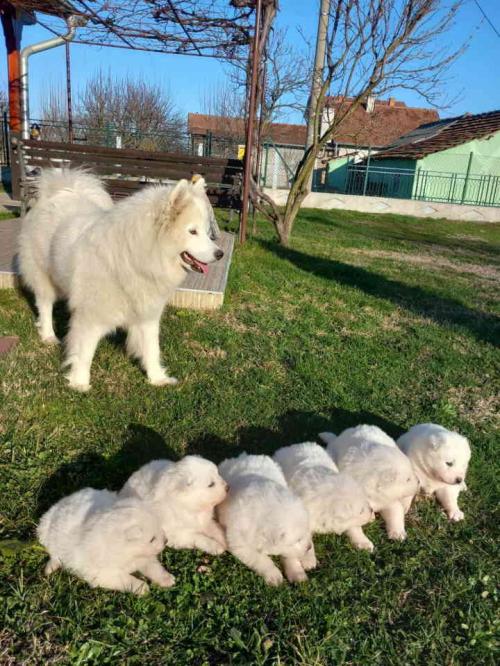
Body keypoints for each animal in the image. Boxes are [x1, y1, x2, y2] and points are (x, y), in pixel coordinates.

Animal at [19, 167, 223, 390]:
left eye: (206, 232)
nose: (220, 254)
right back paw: (48, 335)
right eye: (192, 231)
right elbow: (84, 352)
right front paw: (79, 382)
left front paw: (157, 378)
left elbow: (152, 349)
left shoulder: (147, 315)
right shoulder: (90, 316)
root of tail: (59, 192)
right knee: (45, 306)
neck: (132, 258)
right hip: (44, 278)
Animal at [37, 482, 172, 592]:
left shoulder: (144, 557)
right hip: (45, 531)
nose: (166, 541)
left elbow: (153, 567)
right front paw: (141, 587)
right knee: (54, 554)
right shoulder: (103, 574)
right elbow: (126, 579)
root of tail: (61, 501)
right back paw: (50, 568)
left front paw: (166, 579)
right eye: (152, 539)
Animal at [218, 452, 314, 588]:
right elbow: (261, 559)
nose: (308, 547)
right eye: (298, 540)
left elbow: (290, 556)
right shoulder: (240, 543)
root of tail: (242, 456)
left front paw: (297, 574)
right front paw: (274, 576)